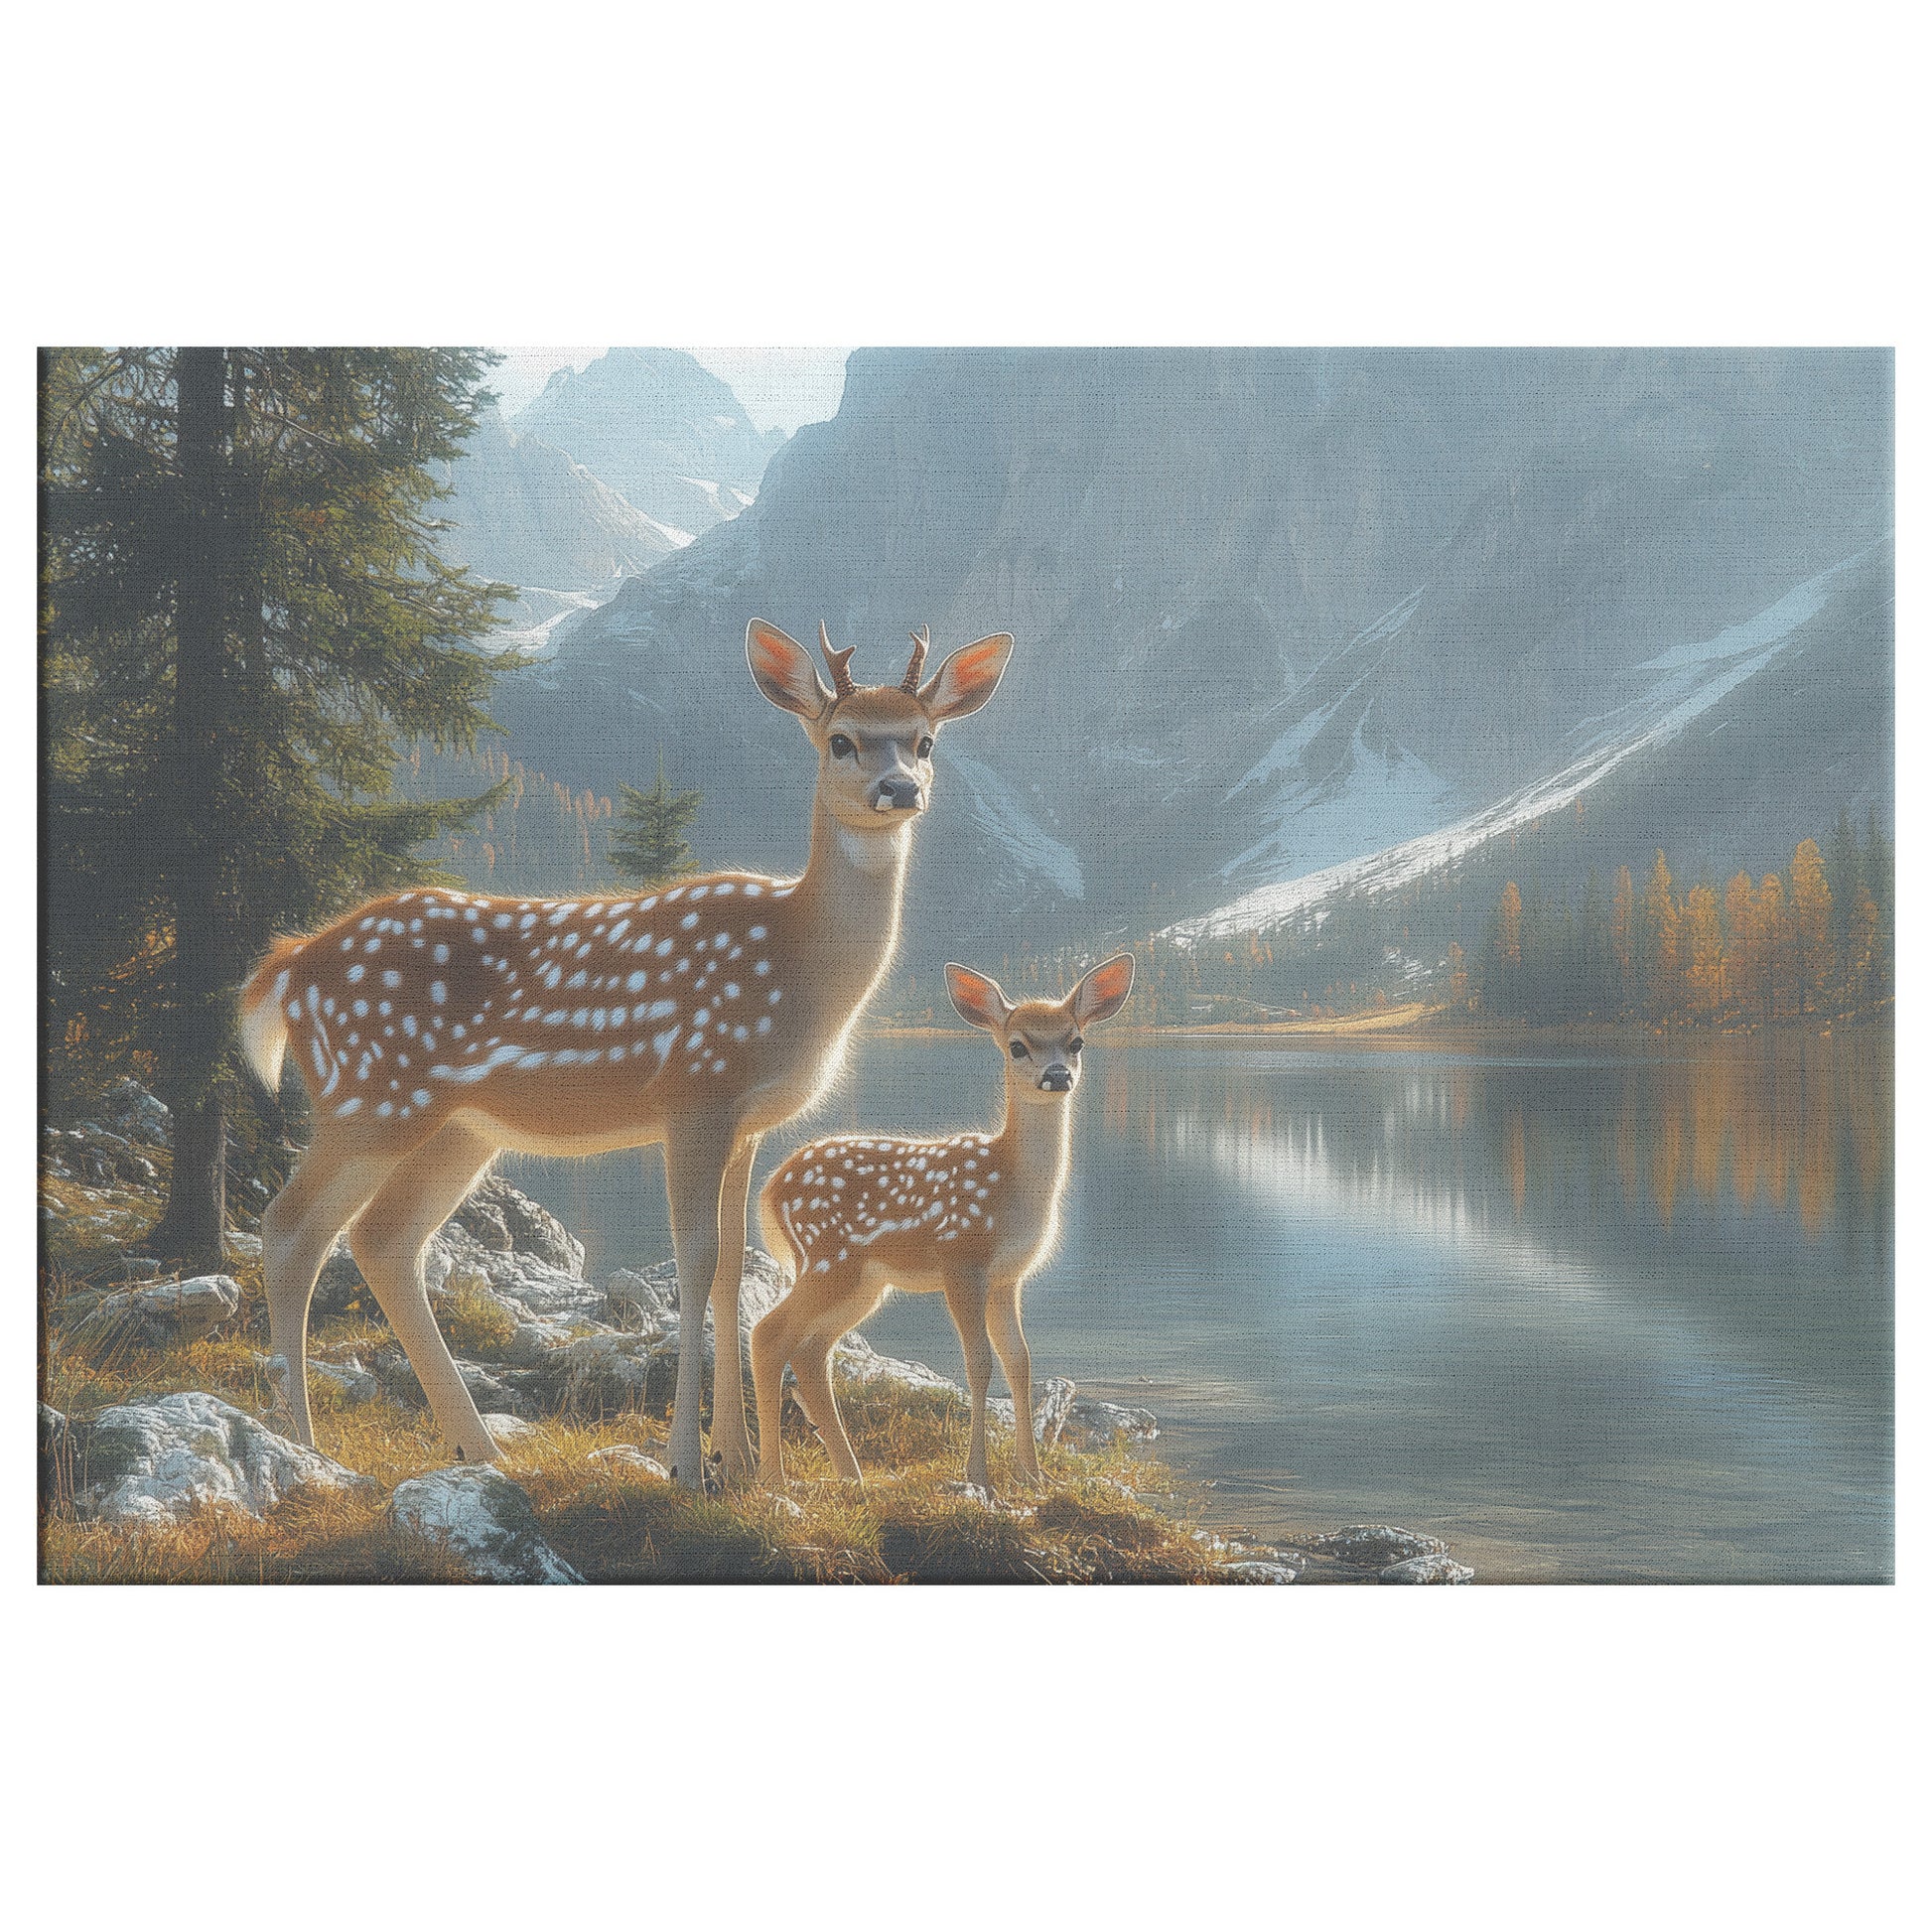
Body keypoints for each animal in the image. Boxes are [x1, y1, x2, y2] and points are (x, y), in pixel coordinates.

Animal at [235, 619, 1013, 1489]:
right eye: (841, 739)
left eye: (924, 740)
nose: (899, 789)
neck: (800, 965)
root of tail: (289, 964)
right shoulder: (695, 1088)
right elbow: (696, 1257)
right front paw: (686, 1462)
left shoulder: (750, 1120)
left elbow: (735, 1267)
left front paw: (737, 1460)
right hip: (368, 1093)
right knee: (290, 1226)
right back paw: (303, 1443)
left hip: (458, 1124)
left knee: (381, 1239)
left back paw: (478, 1446)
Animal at [750, 952, 1135, 1497]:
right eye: (1018, 1045)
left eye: (1076, 1040)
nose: (1058, 1075)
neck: (1013, 1187)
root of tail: (769, 1191)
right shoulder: (961, 1260)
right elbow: (979, 1363)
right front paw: (979, 1476)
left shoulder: (1007, 1276)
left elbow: (1020, 1362)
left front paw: (1033, 1475)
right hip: (829, 1260)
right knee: (768, 1335)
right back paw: (773, 1478)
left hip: (864, 1282)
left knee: (809, 1352)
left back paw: (852, 1475)